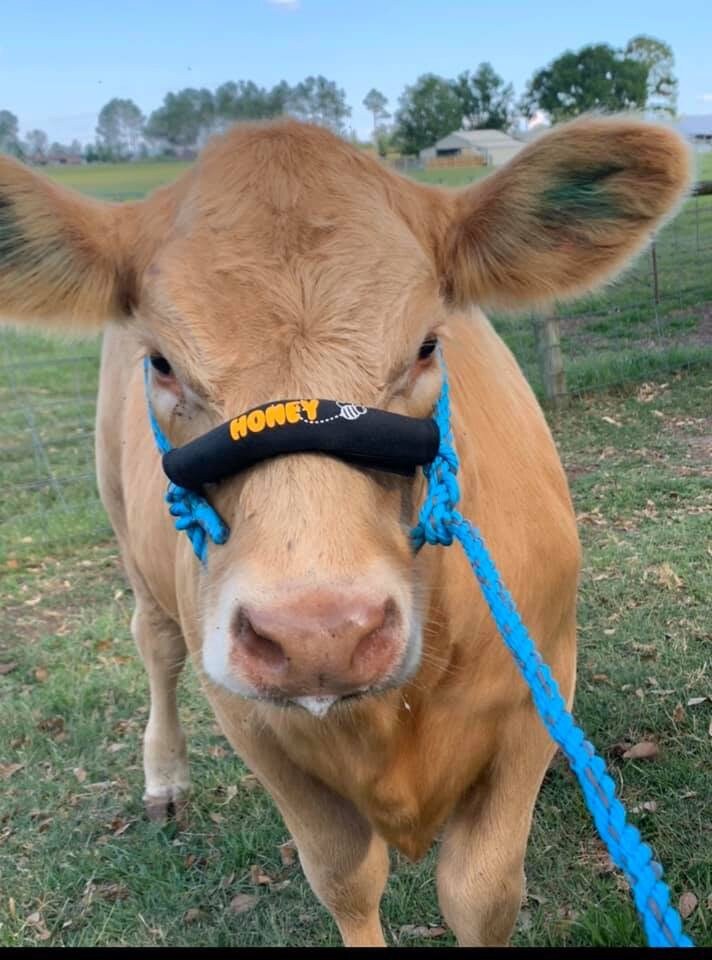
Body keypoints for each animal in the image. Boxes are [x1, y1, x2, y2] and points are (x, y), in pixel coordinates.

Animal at [0, 117, 690, 946]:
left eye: (428, 344)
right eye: (161, 362)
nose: (317, 634)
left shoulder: (540, 675)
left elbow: (482, 889)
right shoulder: (254, 726)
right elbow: (345, 879)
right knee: (155, 642)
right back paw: (164, 777)